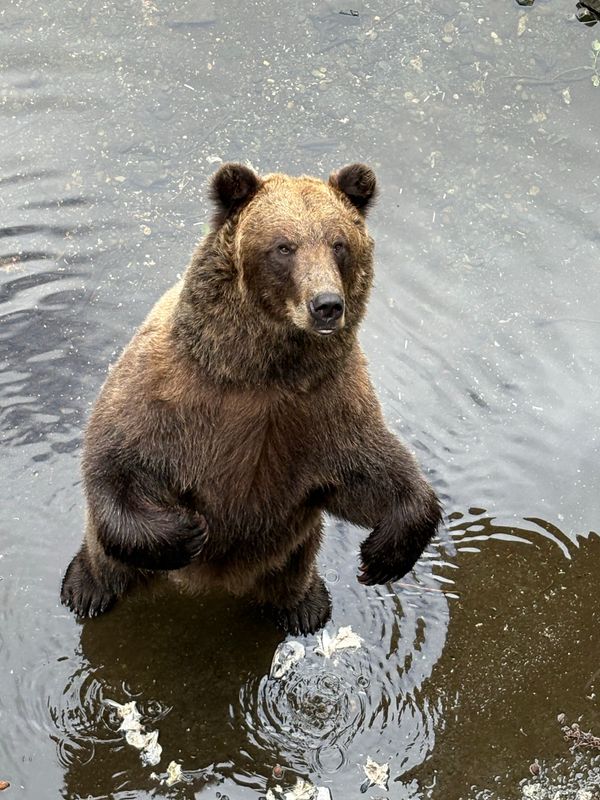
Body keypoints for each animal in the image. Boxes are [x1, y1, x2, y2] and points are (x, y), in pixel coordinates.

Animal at [60, 162, 442, 635]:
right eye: (284, 246)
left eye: (339, 244)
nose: (327, 305)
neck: (260, 371)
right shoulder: (171, 392)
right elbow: (116, 461)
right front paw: (188, 532)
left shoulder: (323, 408)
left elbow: (372, 472)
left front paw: (382, 556)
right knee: (105, 553)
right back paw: (87, 588)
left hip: (291, 553)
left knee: (294, 568)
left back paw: (305, 606)